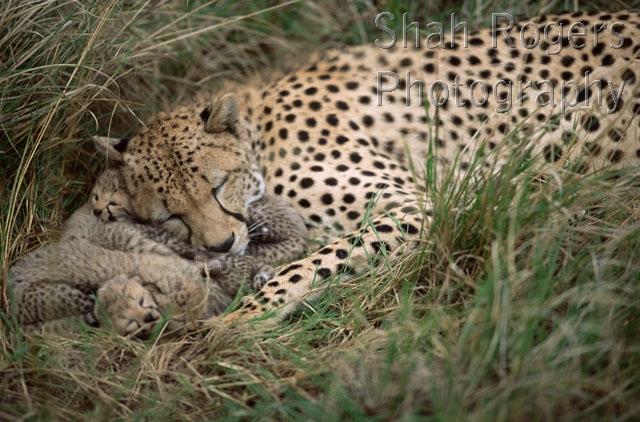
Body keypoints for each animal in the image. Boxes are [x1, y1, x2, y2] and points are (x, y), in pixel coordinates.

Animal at [90, 10, 640, 328]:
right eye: (169, 216)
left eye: (217, 186)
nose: (221, 246)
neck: (259, 136)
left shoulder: (416, 207)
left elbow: (309, 265)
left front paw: (237, 321)